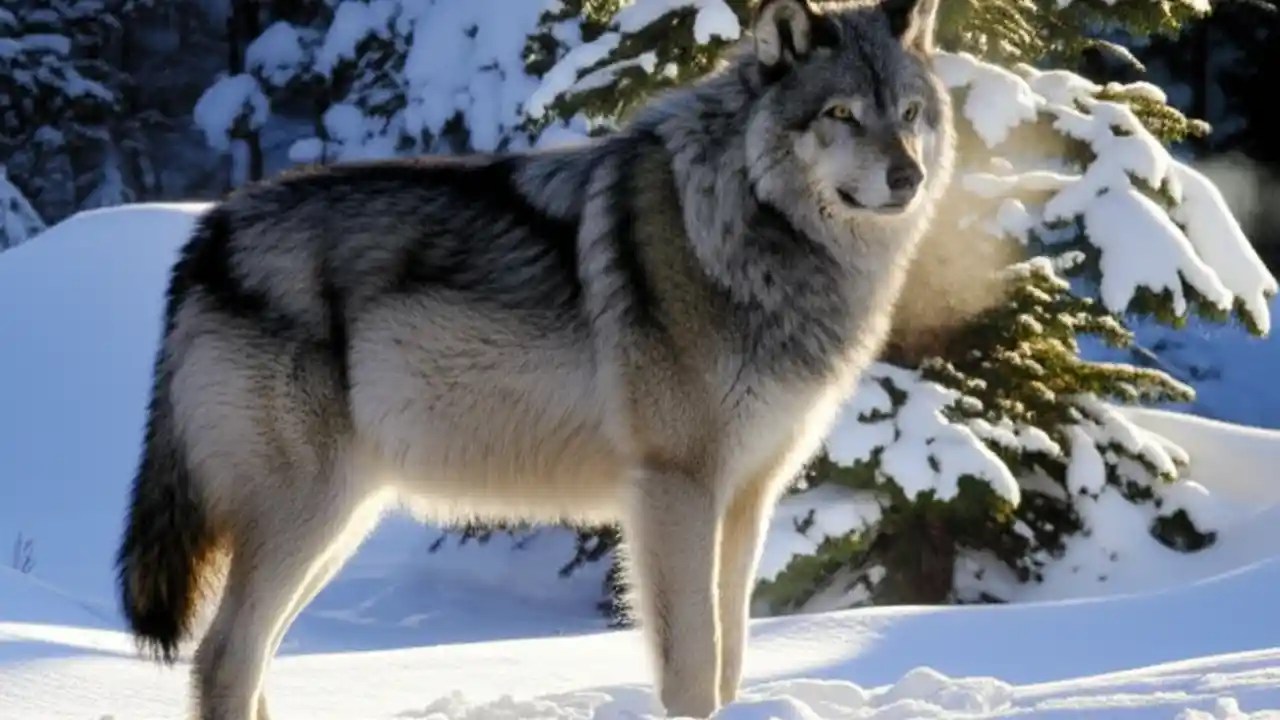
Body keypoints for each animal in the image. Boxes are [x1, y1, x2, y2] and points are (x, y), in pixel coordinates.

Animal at [115, 0, 955, 717]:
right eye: (841, 114)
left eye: (909, 114)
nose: (908, 177)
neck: (743, 227)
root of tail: (208, 235)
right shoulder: (676, 489)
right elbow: (692, 666)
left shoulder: (747, 498)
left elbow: (732, 658)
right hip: (309, 517)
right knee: (223, 657)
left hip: (339, 522)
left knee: (255, 657)